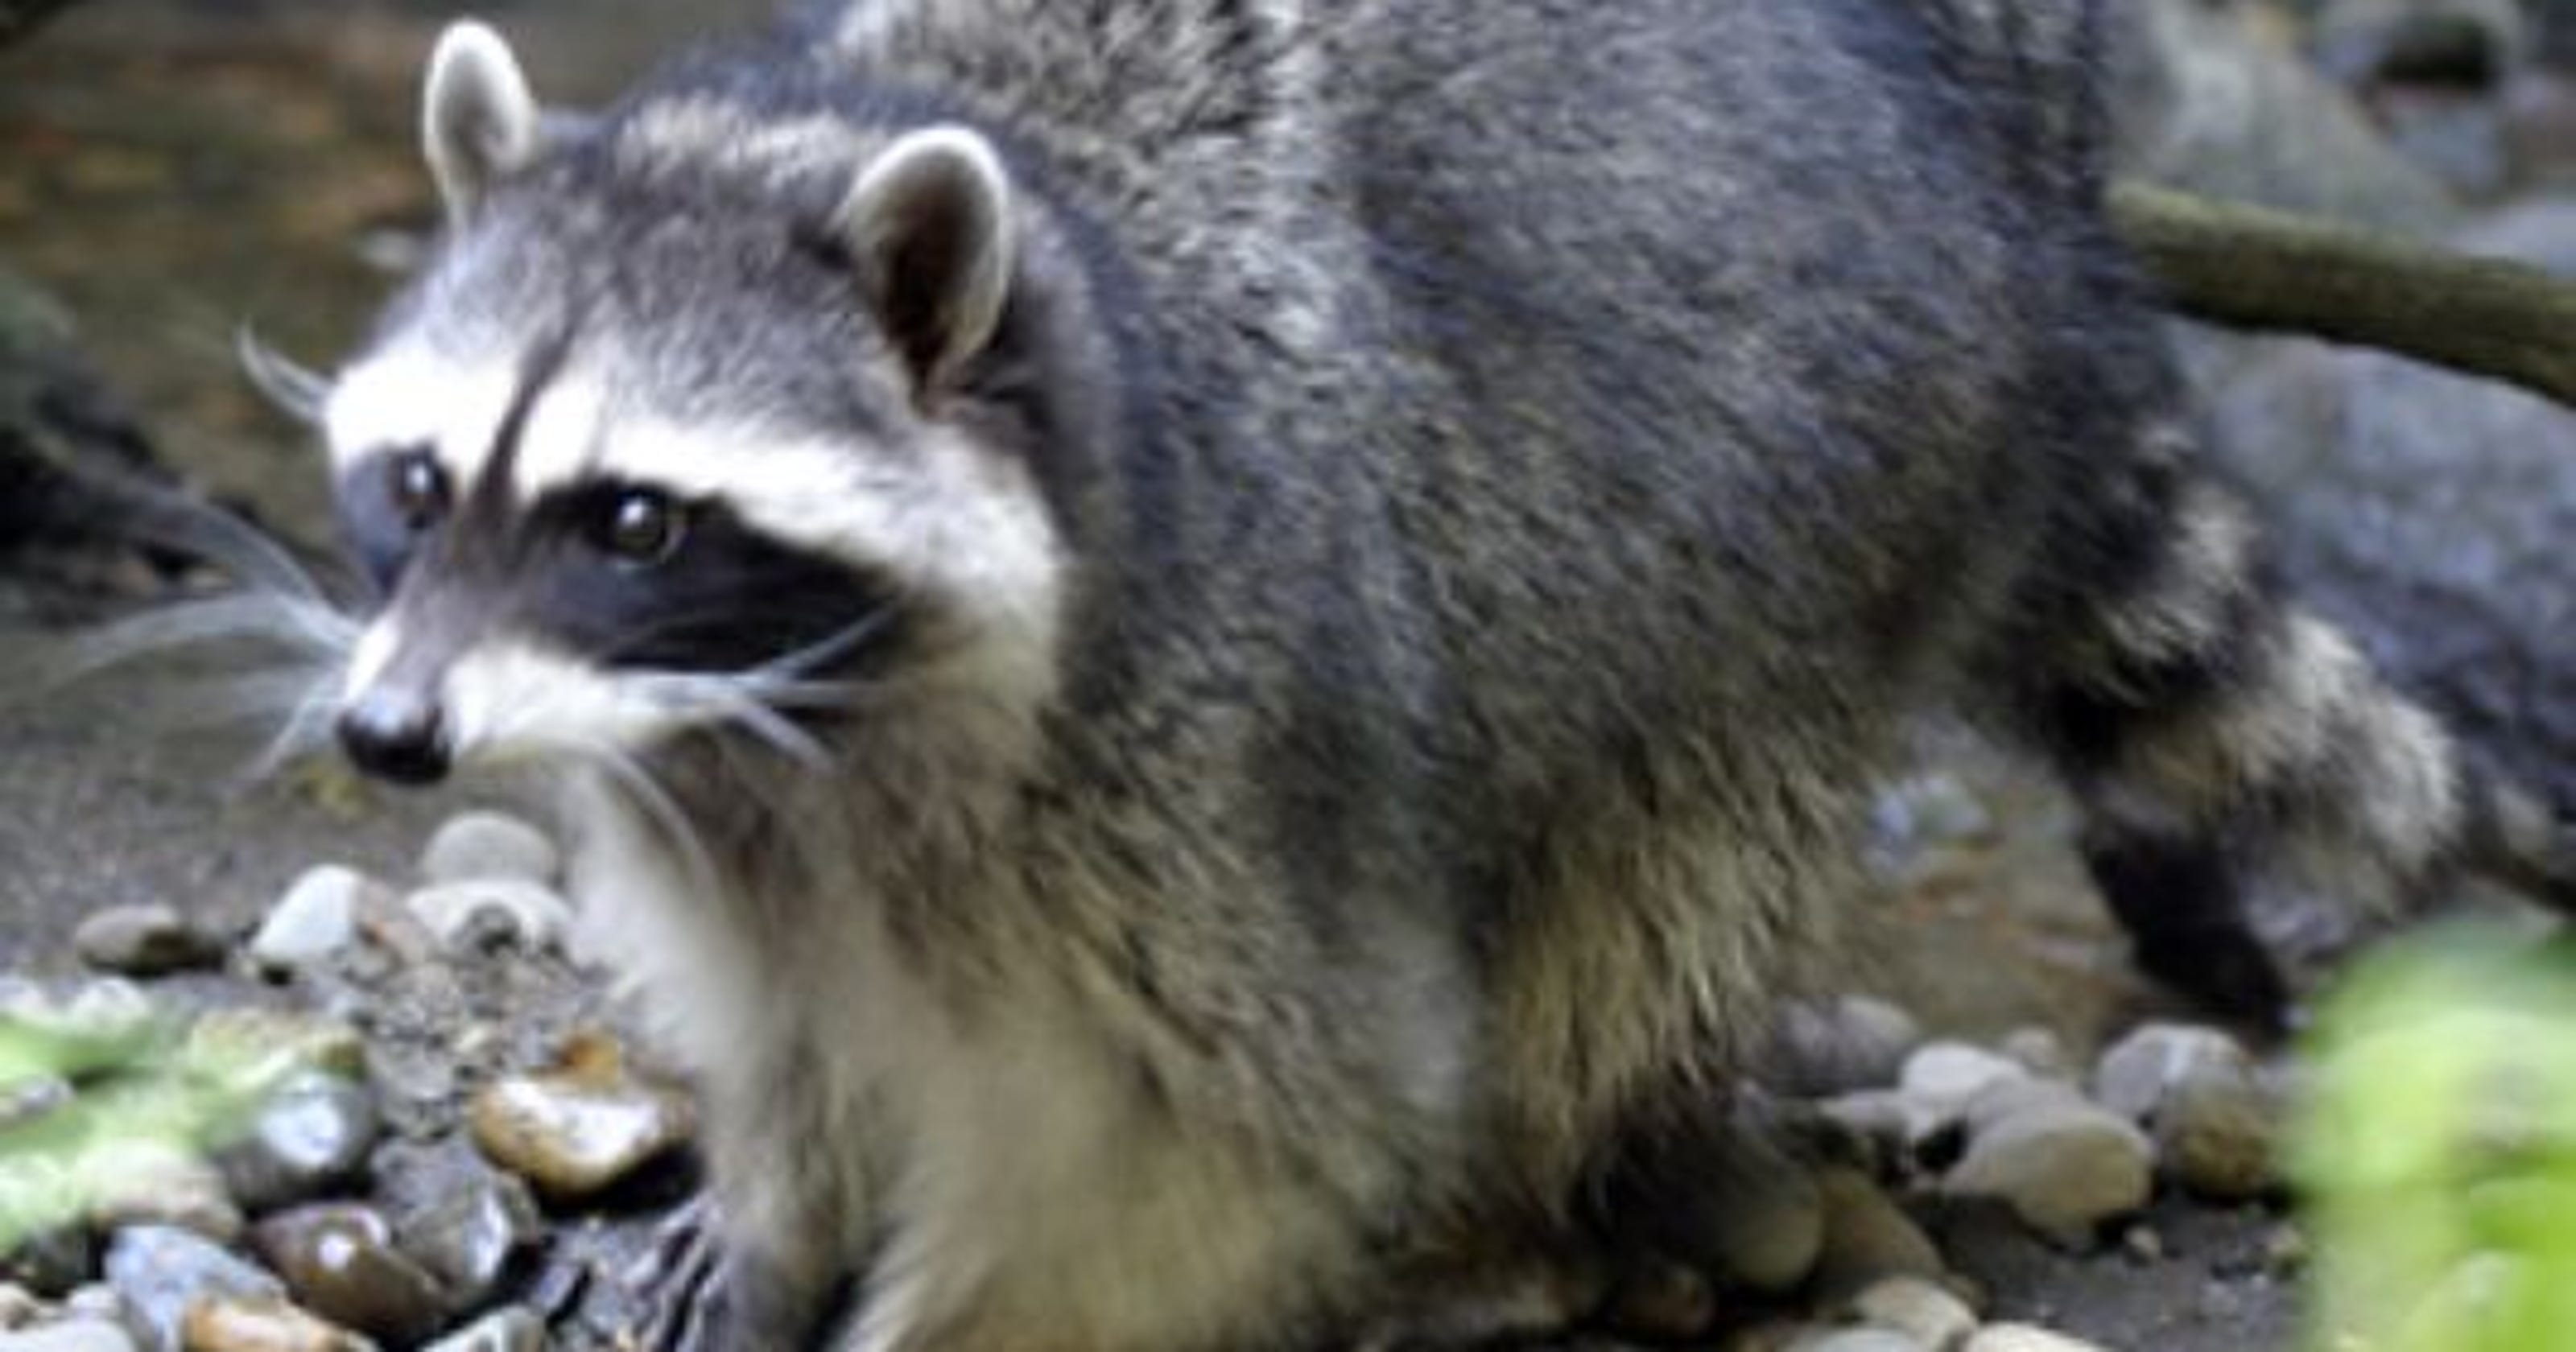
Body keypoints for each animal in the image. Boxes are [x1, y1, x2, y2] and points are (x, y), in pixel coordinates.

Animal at [314, 1, 2573, 1348]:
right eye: (420, 483)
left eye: (632, 520)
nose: (386, 734)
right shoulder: (722, 804)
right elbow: (789, 1027)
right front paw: (781, 1206)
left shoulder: (1217, 754)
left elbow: (1265, 1136)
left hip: (1814, 532)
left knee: (1640, 896)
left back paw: (1520, 1209)